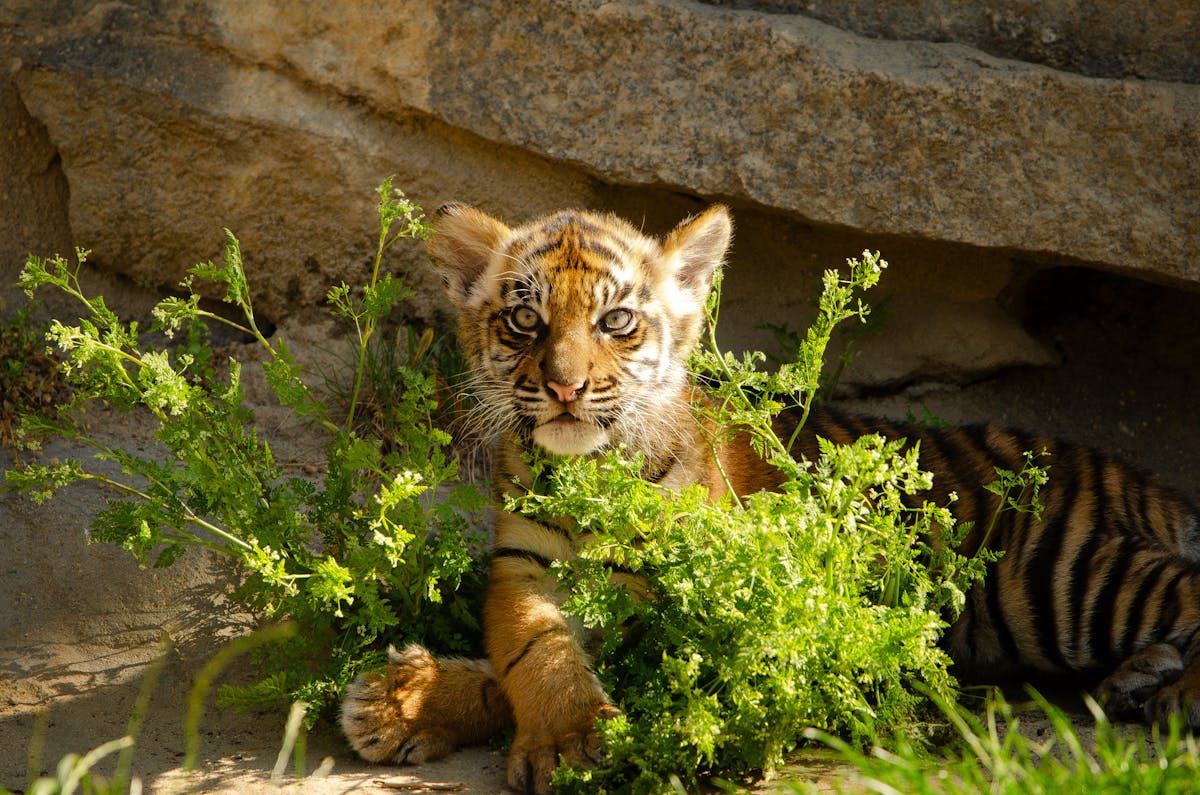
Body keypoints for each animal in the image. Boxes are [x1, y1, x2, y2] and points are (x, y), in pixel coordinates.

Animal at [340, 202, 1200, 794]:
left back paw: (1176, 695)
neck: (591, 473)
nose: (565, 387)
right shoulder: (524, 563)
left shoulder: (689, 604)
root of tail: (1132, 477)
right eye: (525, 318)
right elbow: (534, 652)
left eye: (616, 320)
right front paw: (406, 701)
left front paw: (557, 745)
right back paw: (1140, 677)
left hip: (1061, 579)